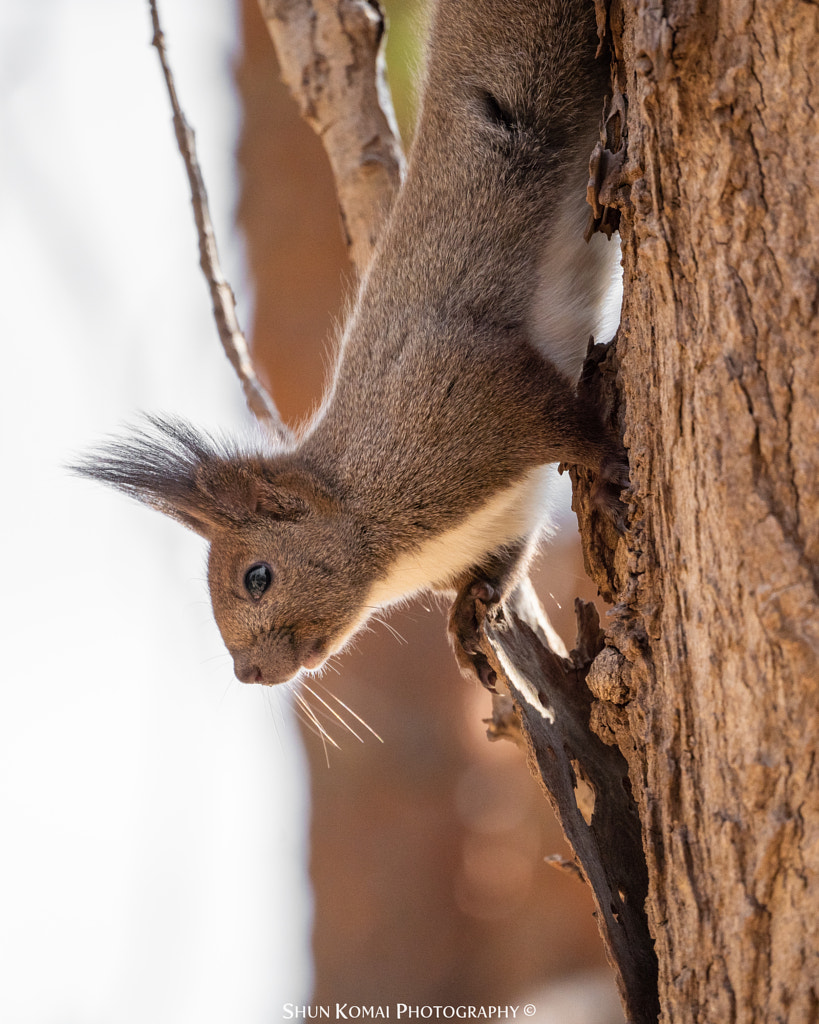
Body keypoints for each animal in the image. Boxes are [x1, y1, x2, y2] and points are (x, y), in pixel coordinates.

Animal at [75, 0, 625, 688]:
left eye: (258, 578)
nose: (246, 674)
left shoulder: (470, 395)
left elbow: (566, 425)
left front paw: (609, 471)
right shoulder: (504, 515)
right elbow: (505, 562)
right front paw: (470, 617)